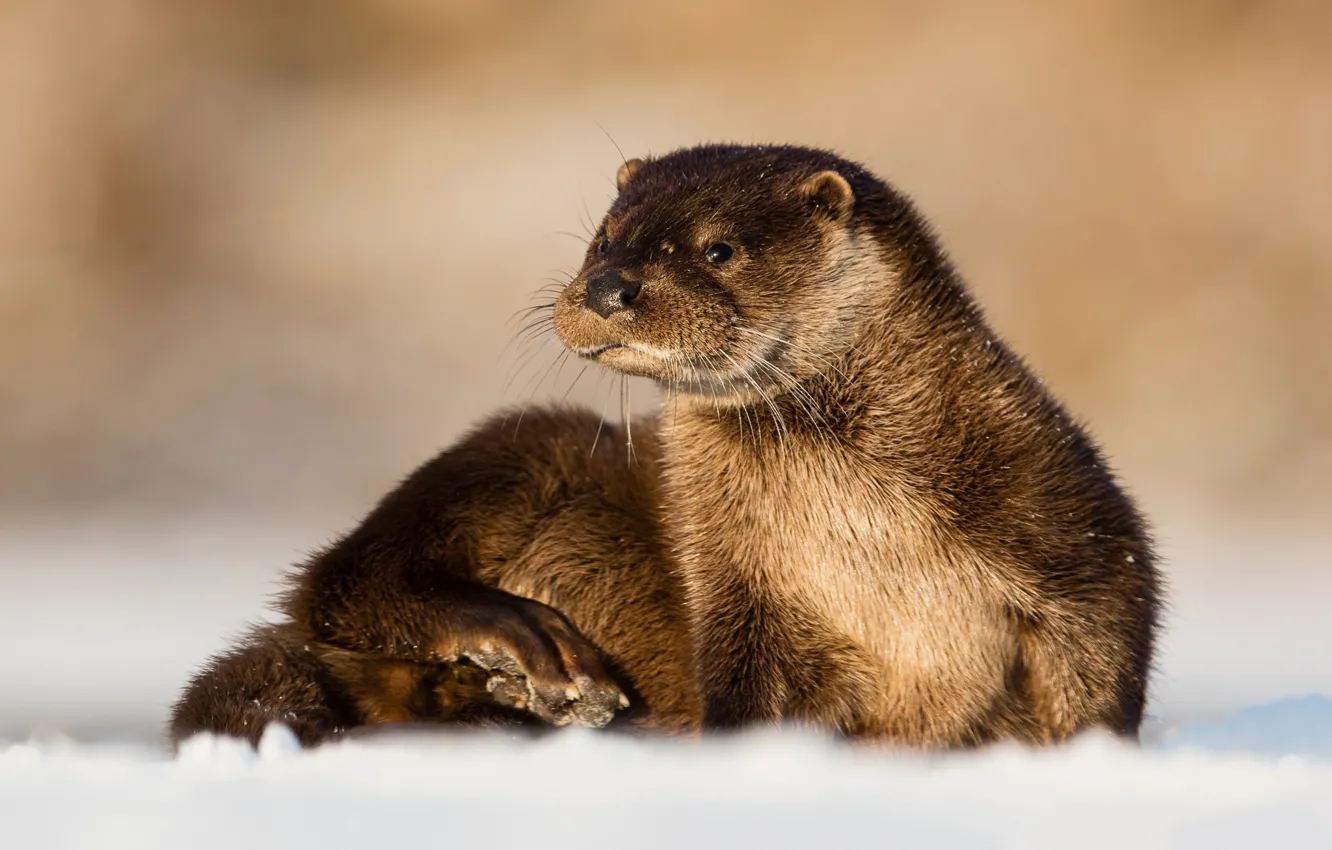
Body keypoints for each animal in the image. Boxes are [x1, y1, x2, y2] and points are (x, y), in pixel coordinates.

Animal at [171, 143, 1160, 748]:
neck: (864, 542)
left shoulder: (1074, 530)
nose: (609, 285)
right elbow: (743, 690)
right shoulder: (736, 585)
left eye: (718, 249)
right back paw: (525, 653)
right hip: (529, 441)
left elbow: (1103, 663)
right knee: (341, 579)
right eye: (605, 235)